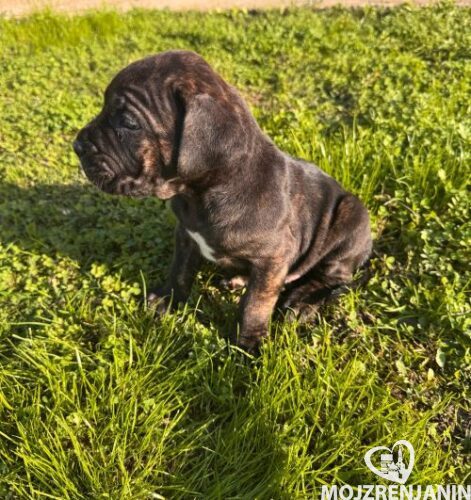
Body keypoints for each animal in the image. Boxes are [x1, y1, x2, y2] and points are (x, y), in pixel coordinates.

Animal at [74, 48, 372, 350]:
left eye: (129, 123)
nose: (77, 146)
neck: (201, 194)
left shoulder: (274, 258)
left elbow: (256, 303)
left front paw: (251, 341)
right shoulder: (186, 234)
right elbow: (179, 270)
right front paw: (168, 300)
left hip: (351, 220)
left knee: (334, 278)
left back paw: (300, 303)